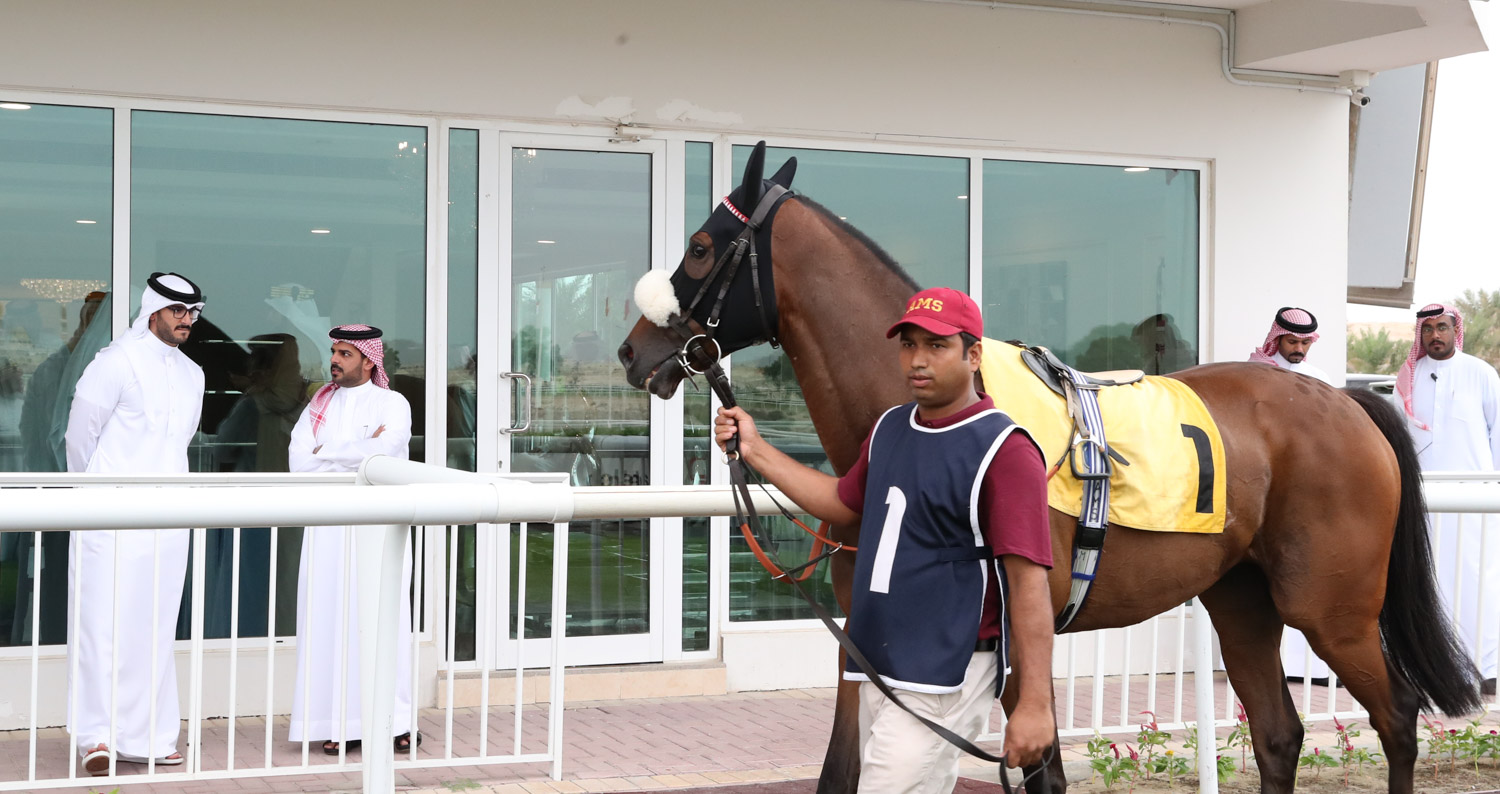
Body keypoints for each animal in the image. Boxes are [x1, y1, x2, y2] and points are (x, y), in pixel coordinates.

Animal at [616, 142, 1480, 794]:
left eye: (699, 247)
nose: (631, 351)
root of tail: (1344, 401)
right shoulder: (866, 644)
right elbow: (840, 775)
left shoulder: (1019, 635)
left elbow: (1043, 773)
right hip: (1241, 599)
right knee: (1277, 734)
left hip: (1332, 610)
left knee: (1400, 718)